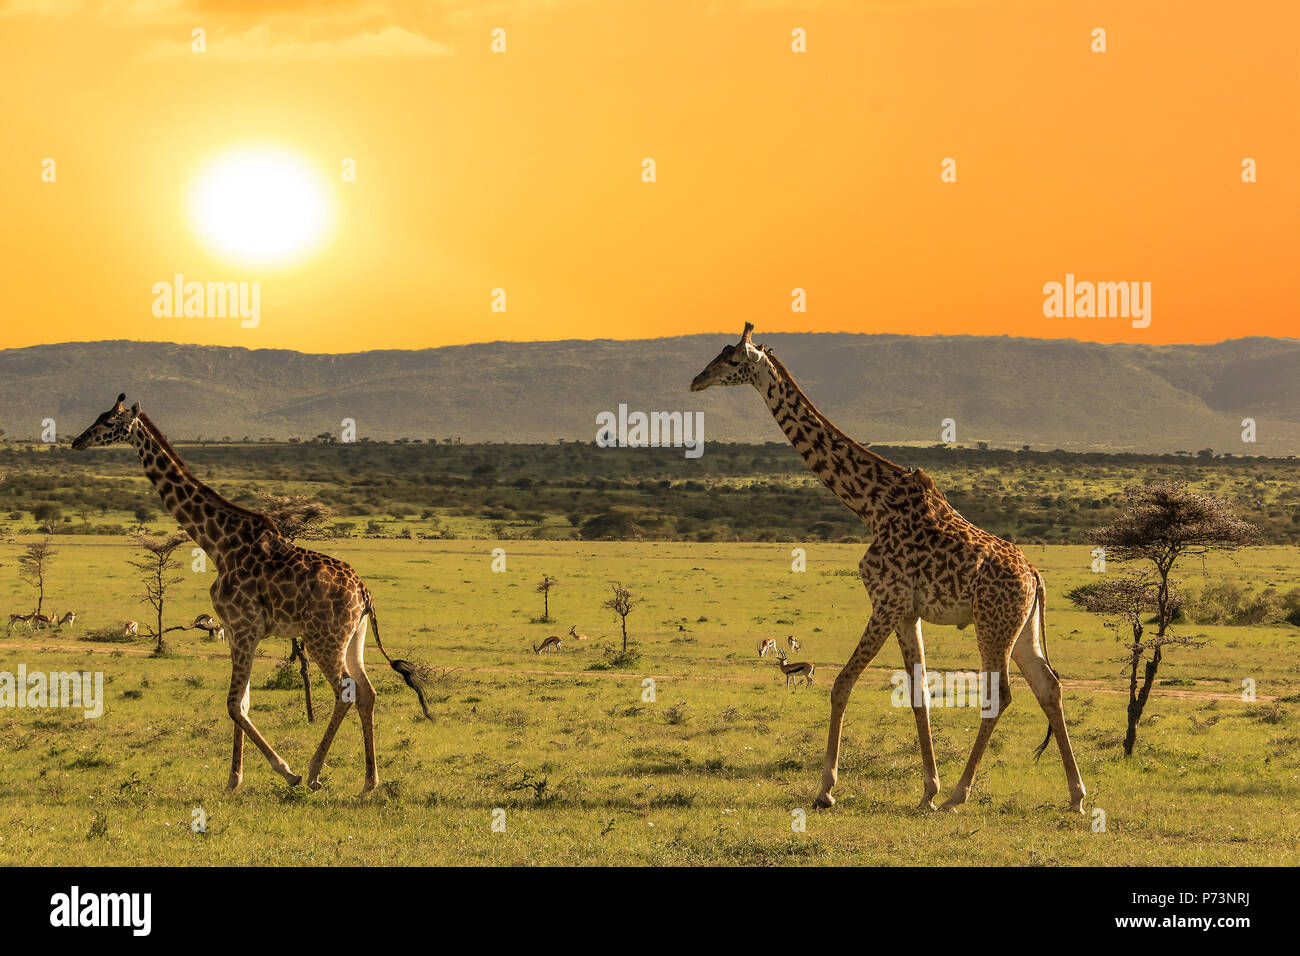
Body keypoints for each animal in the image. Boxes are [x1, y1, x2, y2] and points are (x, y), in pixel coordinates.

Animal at [71, 394, 433, 793]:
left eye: (108, 422)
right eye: (98, 417)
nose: (77, 442)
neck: (218, 543)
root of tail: (364, 593)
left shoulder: (245, 627)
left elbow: (232, 704)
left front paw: (285, 771)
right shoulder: (233, 630)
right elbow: (242, 703)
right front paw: (233, 780)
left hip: (323, 637)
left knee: (346, 690)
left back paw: (313, 772)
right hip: (354, 636)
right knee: (367, 692)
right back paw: (370, 781)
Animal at [691, 326, 1086, 813]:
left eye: (731, 361)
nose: (696, 381)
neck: (869, 504)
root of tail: (1035, 577)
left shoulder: (885, 601)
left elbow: (841, 683)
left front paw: (826, 790)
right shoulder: (906, 610)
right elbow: (919, 694)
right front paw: (927, 789)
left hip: (992, 624)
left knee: (1003, 694)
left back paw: (960, 794)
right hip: (1022, 628)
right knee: (1049, 687)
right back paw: (1075, 796)